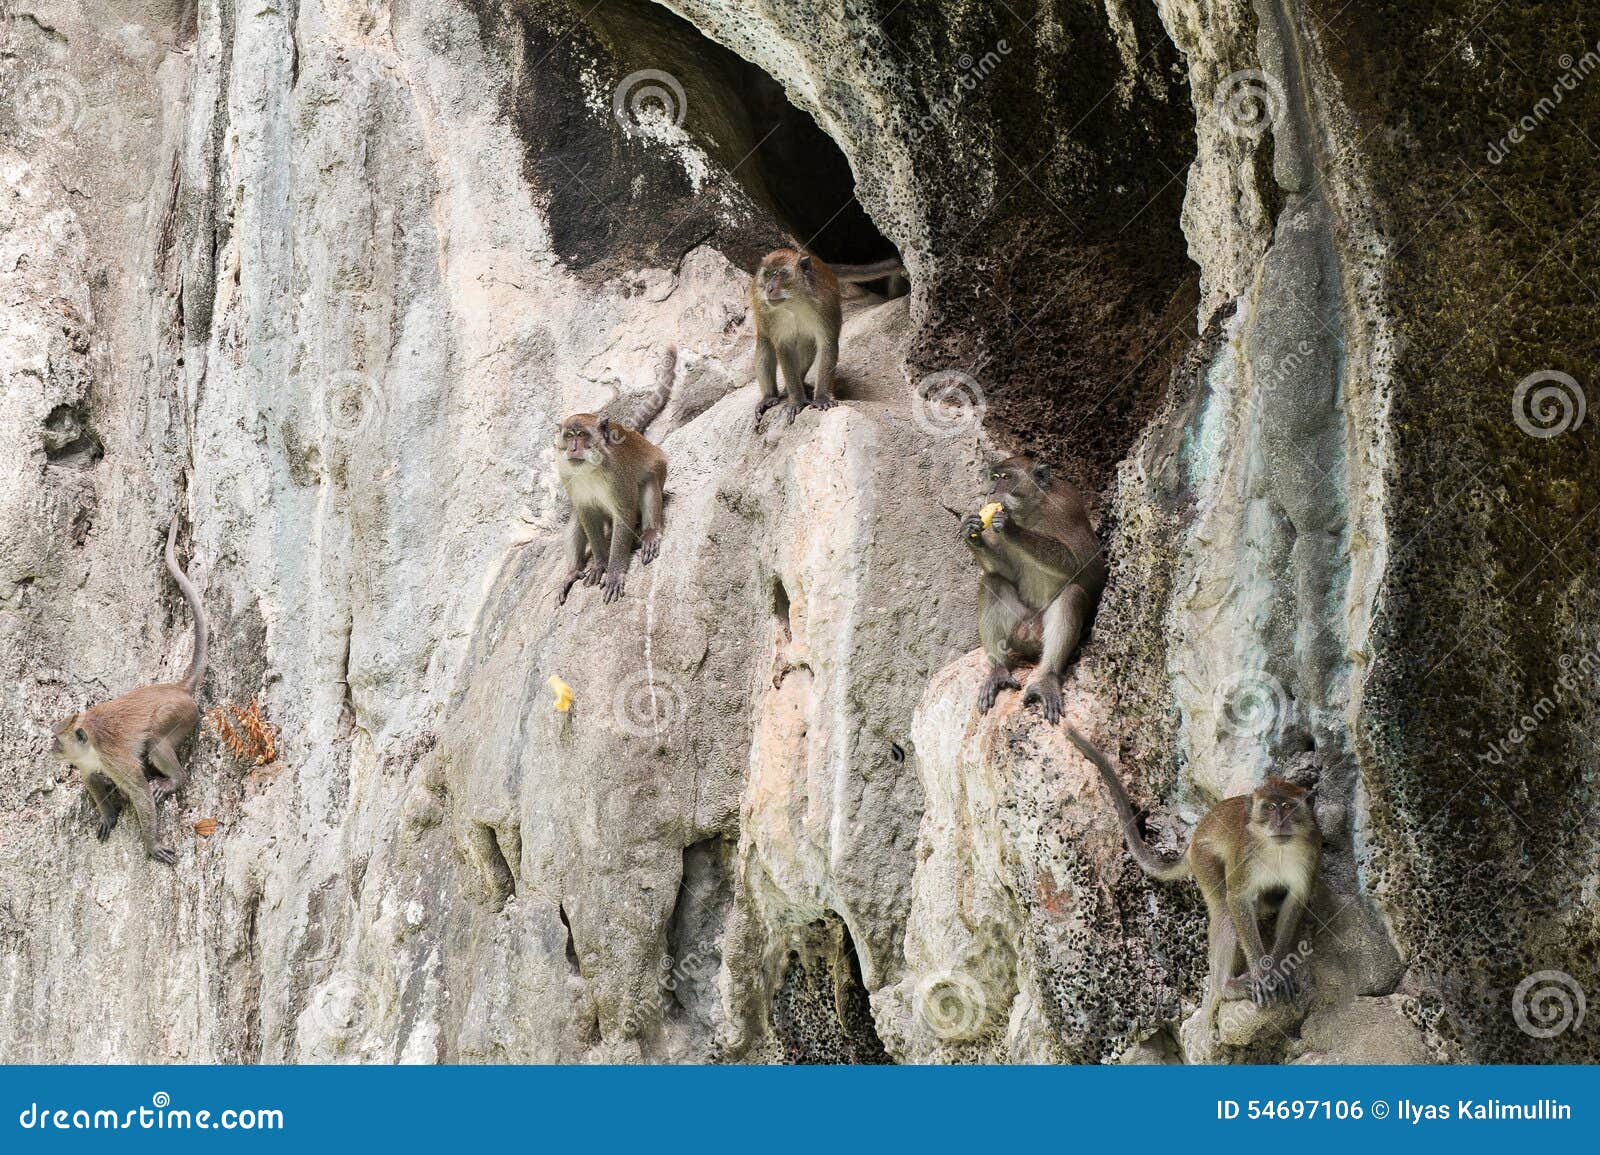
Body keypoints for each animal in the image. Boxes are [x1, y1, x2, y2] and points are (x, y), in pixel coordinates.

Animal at [52, 514, 208, 866]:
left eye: (57, 740)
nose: (52, 749)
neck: (91, 743)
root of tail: (177, 687)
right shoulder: (88, 761)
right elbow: (90, 779)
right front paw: (108, 815)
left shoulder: (113, 759)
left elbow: (139, 792)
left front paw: (151, 845)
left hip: (181, 713)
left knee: (157, 744)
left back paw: (175, 779)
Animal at [555, 344, 676, 605]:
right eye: (569, 436)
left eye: (581, 435)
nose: (572, 448)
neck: (591, 468)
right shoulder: (565, 473)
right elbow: (586, 514)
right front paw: (600, 564)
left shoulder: (617, 474)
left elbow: (624, 513)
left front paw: (613, 572)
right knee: (577, 517)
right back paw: (572, 572)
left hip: (658, 470)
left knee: (649, 484)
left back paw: (650, 532)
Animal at [956, 455, 1105, 724]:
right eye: (994, 477)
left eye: (1006, 478)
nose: (990, 491)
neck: (1031, 511)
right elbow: (1005, 571)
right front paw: (971, 533)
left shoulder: (1065, 509)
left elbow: (1078, 565)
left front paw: (1011, 528)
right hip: (1018, 630)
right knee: (992, 581)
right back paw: (998, 670)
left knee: (1072, 595)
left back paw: (1047, 677)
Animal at [1066, 727, 1321, 1009]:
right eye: (1270, 807)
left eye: (1288, 806)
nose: (1279, 823)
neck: (1278, 848)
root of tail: (1193, 842)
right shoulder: (1245, 854)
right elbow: (1237, 898)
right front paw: (1261, 971)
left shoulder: (1311, 850)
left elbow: (1295, 900)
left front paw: (1278, 965)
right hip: (1204, 859)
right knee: (1224, 909)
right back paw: (1224, 988)